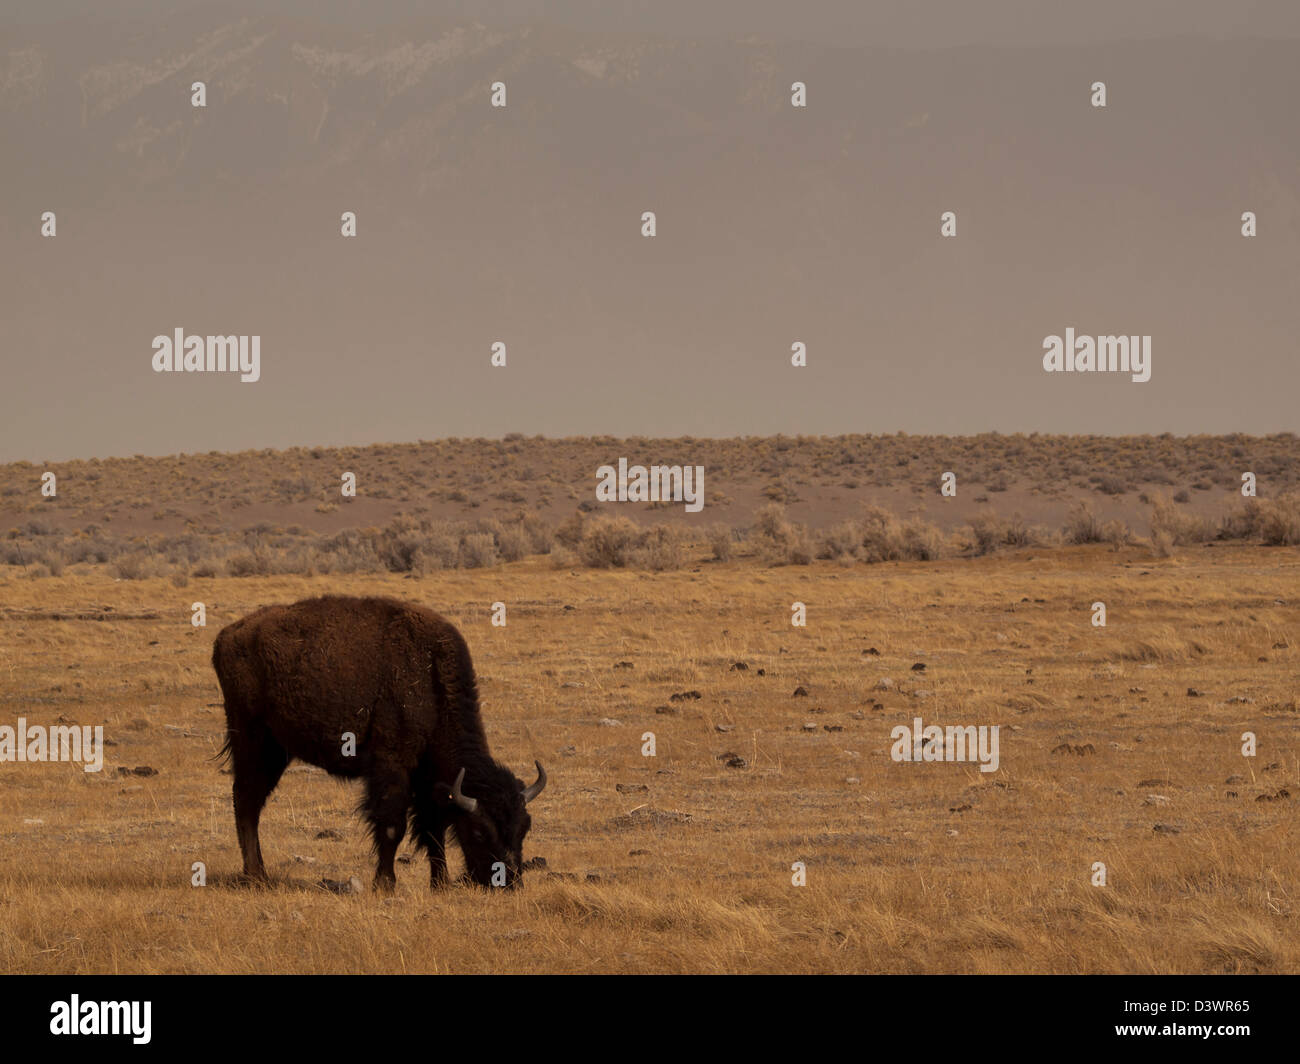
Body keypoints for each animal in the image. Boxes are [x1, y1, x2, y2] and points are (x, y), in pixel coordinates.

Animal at [212, 595, 545, 890]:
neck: (431, 678)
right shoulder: (392, 764)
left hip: (275, 749)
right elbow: (392, 825)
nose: (508, 881)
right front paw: (385, 883)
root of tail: (227, 636)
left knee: (250, 801)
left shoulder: (429, 780)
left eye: (524, 827)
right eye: (479, 831)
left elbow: (433, 828)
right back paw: (256, 876)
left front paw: (440, 884)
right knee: (246, 801)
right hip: (253, 741)